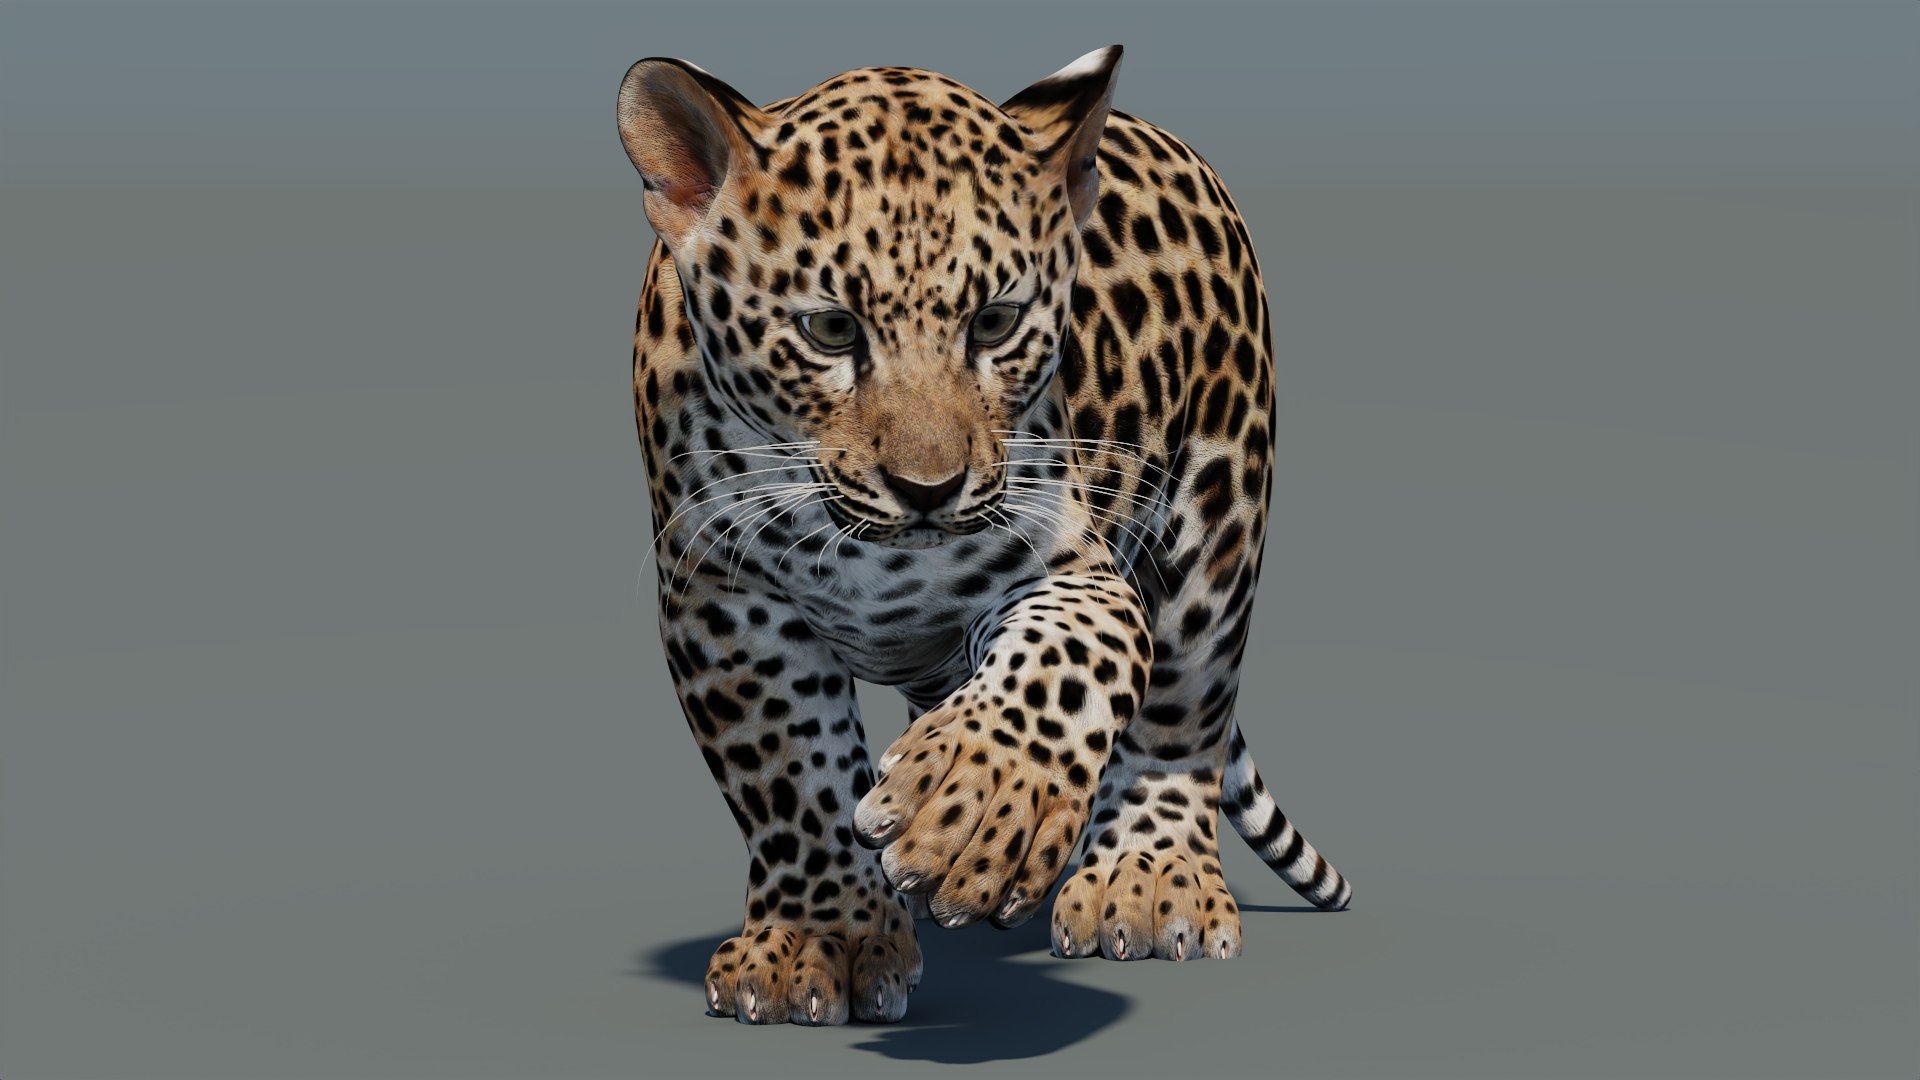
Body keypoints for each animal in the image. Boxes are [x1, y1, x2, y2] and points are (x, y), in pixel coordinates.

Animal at [617, 44, 1352, 1026]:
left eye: (995, 322)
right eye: (830, 329)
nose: (929, 491)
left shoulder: (1072, 566)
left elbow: (1063, 663)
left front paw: (974, 802)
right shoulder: (720, 595)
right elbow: (790, 771)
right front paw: (823, 937)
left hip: (1216, 522)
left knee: (1183, 706)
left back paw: (1150, 878)